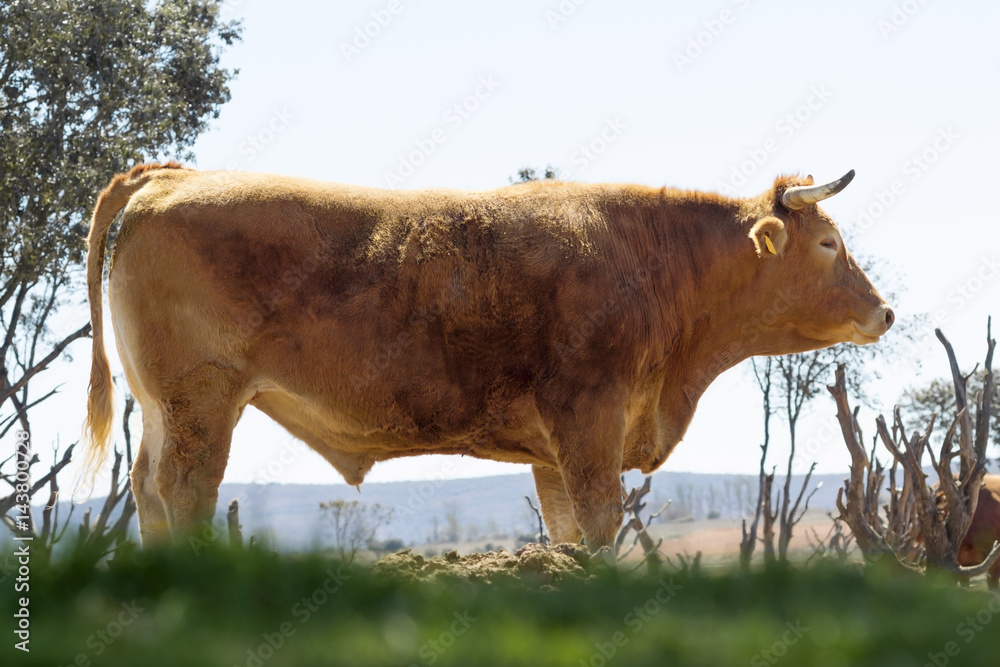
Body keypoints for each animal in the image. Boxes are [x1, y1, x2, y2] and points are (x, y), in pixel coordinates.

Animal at [84, 164, 893, 548]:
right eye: (829, 244)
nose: (883, 310)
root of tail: (174, 176)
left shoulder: (552, 452)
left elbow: (568, 532)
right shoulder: (588, 421)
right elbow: (599, 523)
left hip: (163, 409)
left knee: (146, 488)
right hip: (201, 403)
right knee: (182, 491)